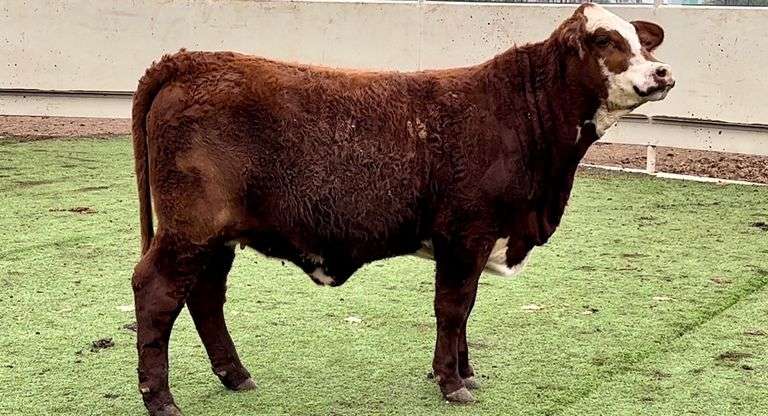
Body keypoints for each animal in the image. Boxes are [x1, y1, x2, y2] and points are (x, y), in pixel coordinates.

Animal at [130, 3, 674, 415]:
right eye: (604, 40)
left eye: (644, 43)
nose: (662, 71)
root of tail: (188, 60)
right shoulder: (466, 234)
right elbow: (452, 307)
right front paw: (451, 382)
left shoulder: (471, 243)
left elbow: (466, 309)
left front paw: (465, 372)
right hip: (189, 230)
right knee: (156, 292)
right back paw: (161, 400)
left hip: (214, 238)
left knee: (205, 297)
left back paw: (235, 375)